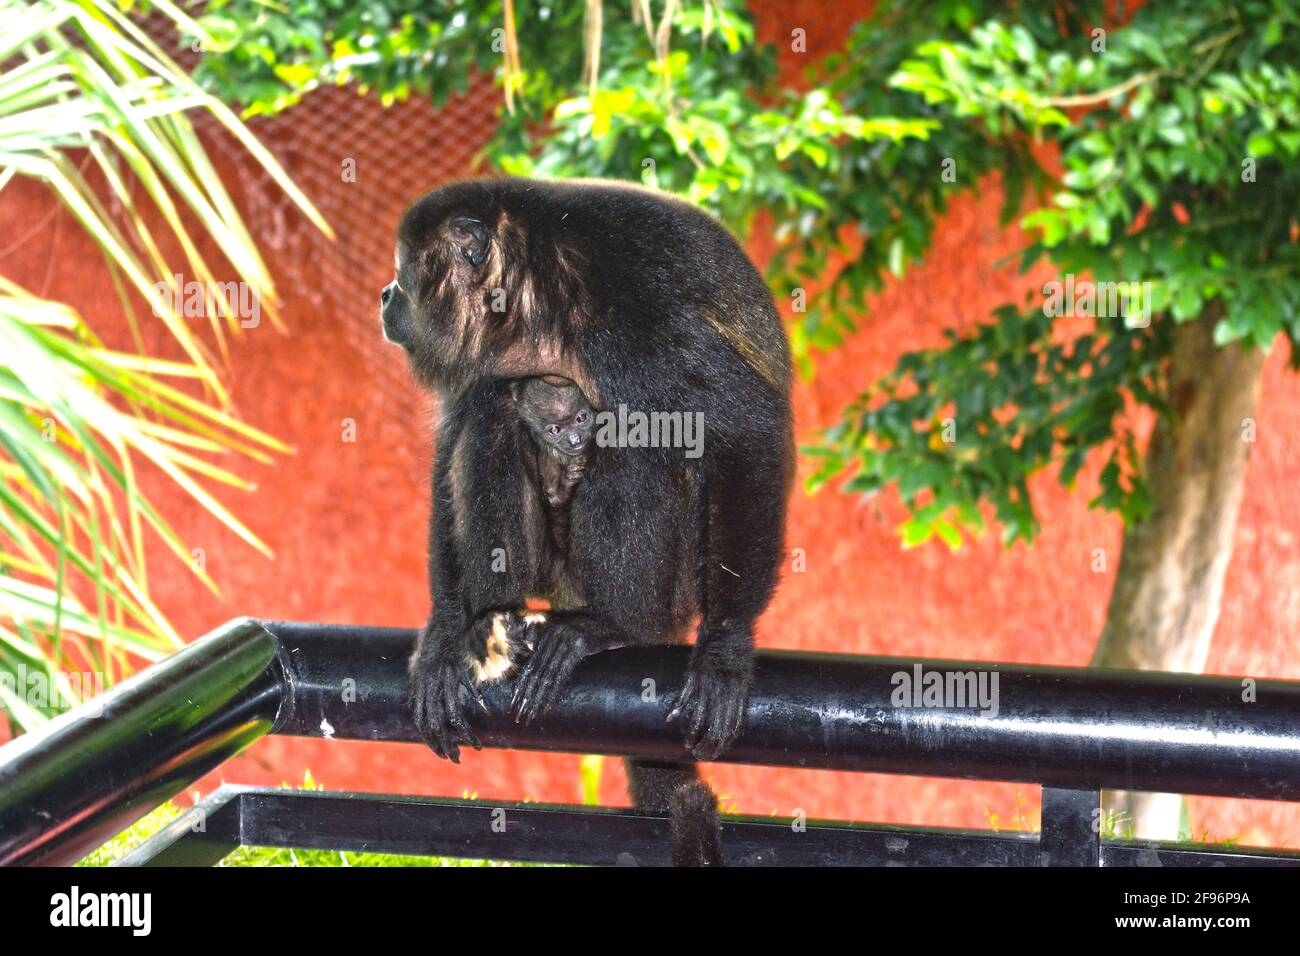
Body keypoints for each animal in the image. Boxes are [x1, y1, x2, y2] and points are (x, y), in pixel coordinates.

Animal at [381, 177, 794, 865]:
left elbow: (747, 429)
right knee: (493, 412)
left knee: (640, 432)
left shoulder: (636, 316)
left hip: (674, 587)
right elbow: (454, 439)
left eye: (404, 270)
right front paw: (442, 634)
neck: (529, 304)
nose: (385, 295)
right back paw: (492, 619)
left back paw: (614, 626)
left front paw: (727, 650)